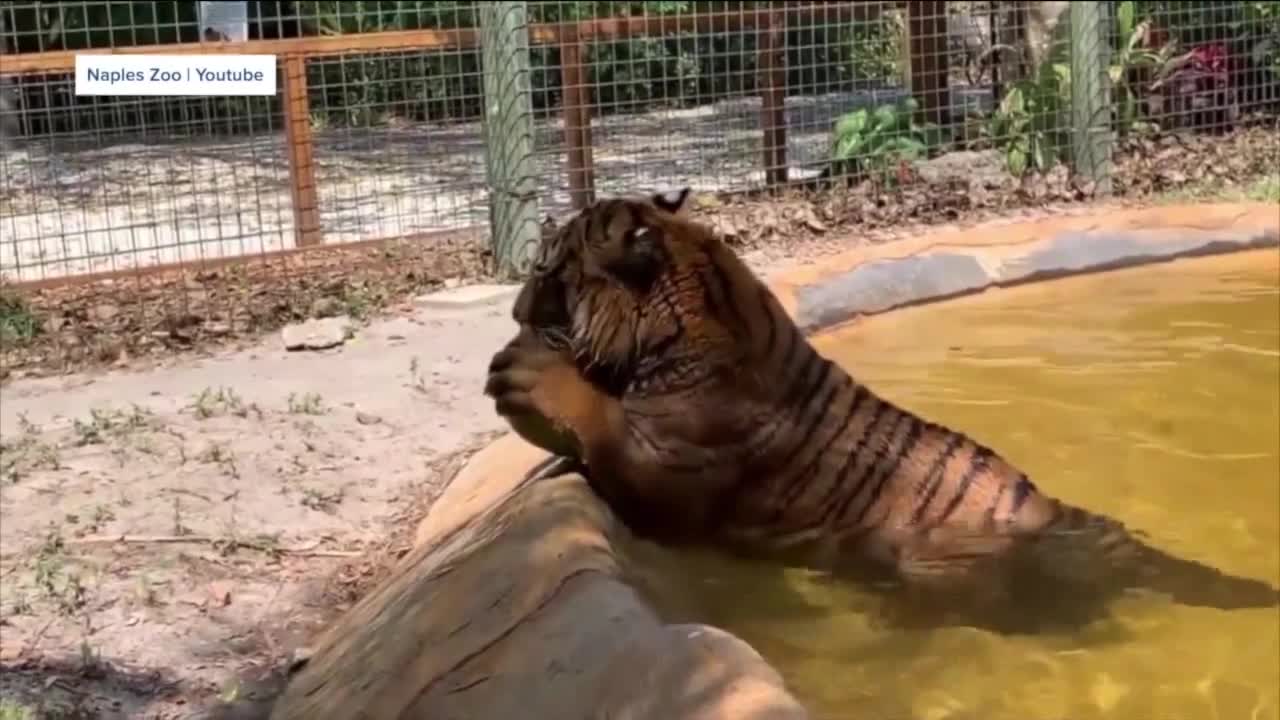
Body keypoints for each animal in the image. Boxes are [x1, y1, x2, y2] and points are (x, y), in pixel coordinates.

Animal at [483, 188, 1280, 632]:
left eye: (547, 269)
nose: (516, 309)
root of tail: (1056, 513)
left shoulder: (670, 469)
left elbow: (605, 426)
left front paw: (527, 378)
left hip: (935, 560)